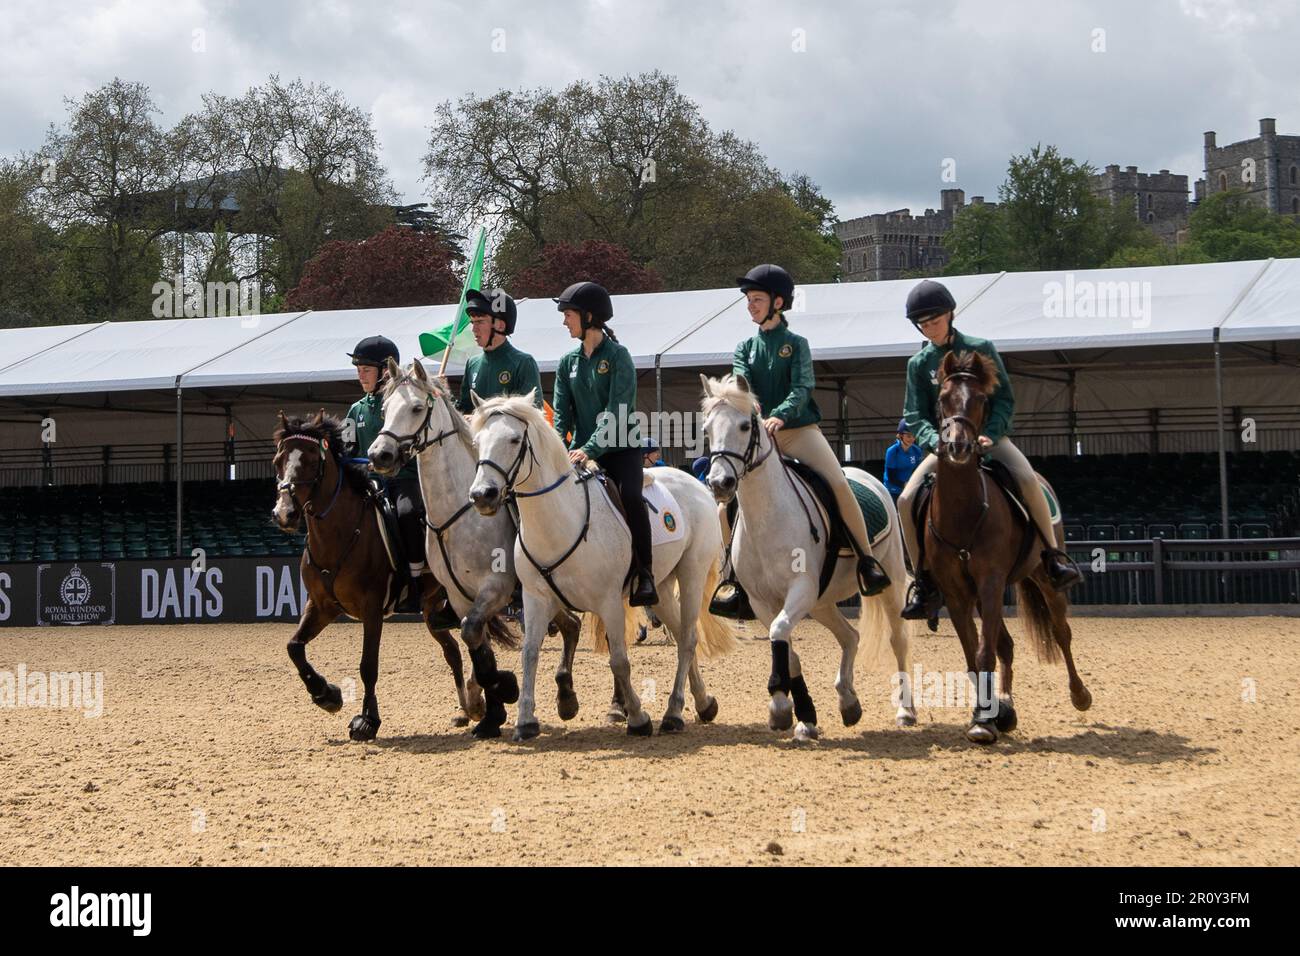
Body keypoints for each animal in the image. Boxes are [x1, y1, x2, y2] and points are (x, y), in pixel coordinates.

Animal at [271, 410, 496, 740]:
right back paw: (466, 708)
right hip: (432, 608)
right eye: (278, 461)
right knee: (453, 650)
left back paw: (479, 702)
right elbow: (294, 647)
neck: (341, 533)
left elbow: (368, 665)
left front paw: (368, 720)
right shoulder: (322, 606)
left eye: (312, 460)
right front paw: (326, 695)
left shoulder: (372, 609)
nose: (284, 513)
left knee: (478, 638)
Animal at [365, 357, 586, 740]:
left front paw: (503, 691)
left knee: (572, 624)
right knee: (570, 624)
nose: (380, 455)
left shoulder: (495, 588)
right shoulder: (458, 596)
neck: (457, 513)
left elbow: (472, 635)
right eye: (385, 408)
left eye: (417, 408)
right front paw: (488, 711)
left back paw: (571, 699)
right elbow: (477, 646)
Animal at [467, 392, 734, 741]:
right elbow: (530, 653)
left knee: (688, 639)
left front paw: (637, 718)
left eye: (514, 440)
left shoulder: (608, 601)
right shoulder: (535, 599)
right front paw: (526, 721)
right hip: (661, 589)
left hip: (691, 574)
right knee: (680, 636)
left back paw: (673, 713)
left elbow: (619, 660)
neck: (559, 522)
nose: (481, 495)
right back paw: (704, 703)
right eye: (477, 441)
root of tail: (695, 482)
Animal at [700, 374, 915, 741]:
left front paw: (780, 706)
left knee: (897, 638)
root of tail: (868, 477)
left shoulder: (800, 588)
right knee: (850, 636)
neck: (767, 516)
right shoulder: (761, 600)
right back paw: (848, 702)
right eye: (707, 429)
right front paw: (801, 715)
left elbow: (780, 632)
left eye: (745, 426)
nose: (720, 483)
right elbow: (787, 648)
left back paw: (905, 710)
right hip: (821, 602)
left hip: (889, 581)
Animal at [928, 350, 1092, 744]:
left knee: (1061, 632)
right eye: (942, 398)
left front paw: (984, 723)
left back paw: (1079, 694)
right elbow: (974, 656)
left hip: (1044, 578)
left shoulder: (990, 582)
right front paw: (984, 714)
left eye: (981, 399)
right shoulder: (957, 593)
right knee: (1007, 646)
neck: (964, 512)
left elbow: (984, 652)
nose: (958, 447)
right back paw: (1006, 708)